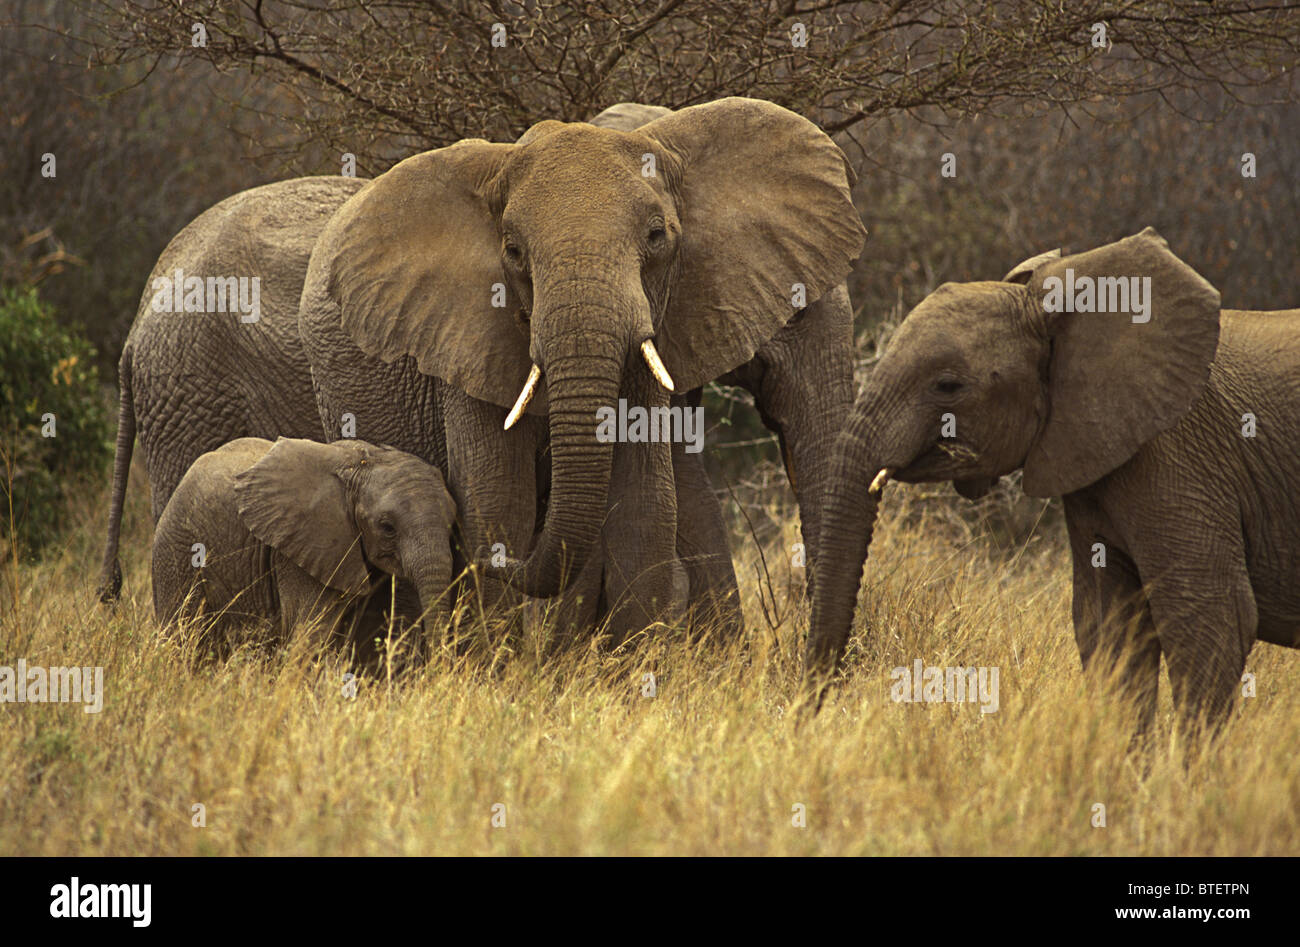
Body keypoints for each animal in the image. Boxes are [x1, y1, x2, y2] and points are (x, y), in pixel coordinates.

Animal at [152, 436, 457, 662]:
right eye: (387, 527)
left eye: (453, 521)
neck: (359, 464)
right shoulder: (299, 549)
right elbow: (308, 631)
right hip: (177, 546)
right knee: (181, 631)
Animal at [298, 97, 866, 645]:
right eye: (513, 251)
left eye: (657, 236)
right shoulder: (464, 338)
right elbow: (496, 500)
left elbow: (646, 503)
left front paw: (636, 666)